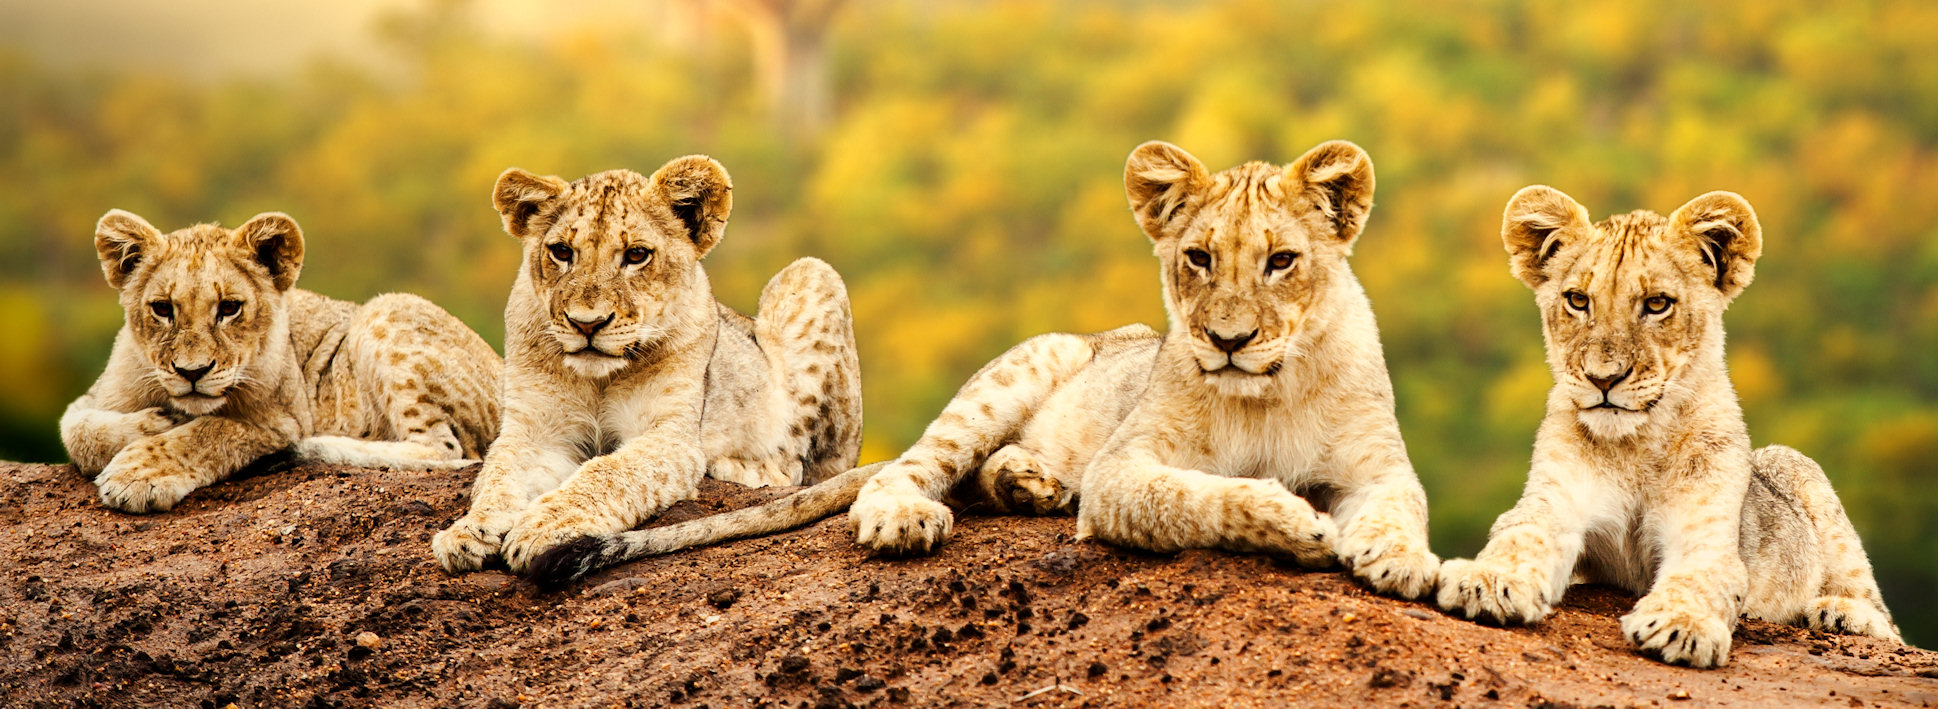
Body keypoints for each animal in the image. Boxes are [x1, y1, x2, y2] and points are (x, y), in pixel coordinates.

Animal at [60, 210, 501, 513]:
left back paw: (315, 445)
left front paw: (139, 474)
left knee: (451, 451)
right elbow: (76, 431)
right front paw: (150, 425)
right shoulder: (94, 397)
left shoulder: (280, 417)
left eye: (230, 308)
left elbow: (209, 432)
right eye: (163, 309)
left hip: (386, 309)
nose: (192, 372)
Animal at [430, 155, 863, 574]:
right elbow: (498, 477)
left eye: (636, 255)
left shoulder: (671, 435)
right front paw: (469, 532)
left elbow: (609, 472)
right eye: (562, 252)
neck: (598, 380)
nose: (587, 323)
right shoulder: (535, 432)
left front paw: (543, 526)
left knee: (797, 468)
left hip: (811, 273)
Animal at [527, 140, 1441, 602]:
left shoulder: (1380, 466)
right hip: (1023, 367)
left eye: (1283, 261)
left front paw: (1402, 560)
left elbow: (1401, 509)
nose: (1226, 340)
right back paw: (913, 516)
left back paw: (1032, 483)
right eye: (1199, 258)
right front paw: (1295, 520)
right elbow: (1205, 493)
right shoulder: (1125, 471)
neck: (1271, 389)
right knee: (907, 473)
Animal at [1435, 186, 1900, 668]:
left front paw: (1680, 627)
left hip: (1801, 471)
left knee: (1885, 618)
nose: (1603, 378)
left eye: (1657, 304)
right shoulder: (1554, 501)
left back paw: (1840, 614)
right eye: (1577, 300)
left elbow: (1698, 577)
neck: (1635, 444)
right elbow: (1519, 536)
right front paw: (1486, 581)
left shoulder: (1707, 533)